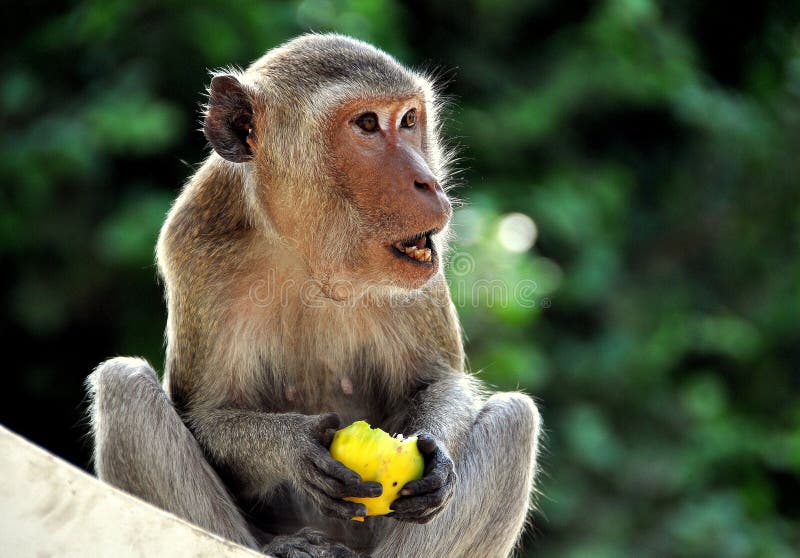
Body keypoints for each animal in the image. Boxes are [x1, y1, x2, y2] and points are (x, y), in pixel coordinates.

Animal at [86, 34, 541, 558]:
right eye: (367, 124)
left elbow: (438, 382)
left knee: (515, 420)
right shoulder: (196, 245)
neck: (309, 255)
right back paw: (284, 545)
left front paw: (439, 459)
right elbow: (204, 414)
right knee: (124, 385)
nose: (428, 182)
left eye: (409, 120)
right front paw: (292, 447)